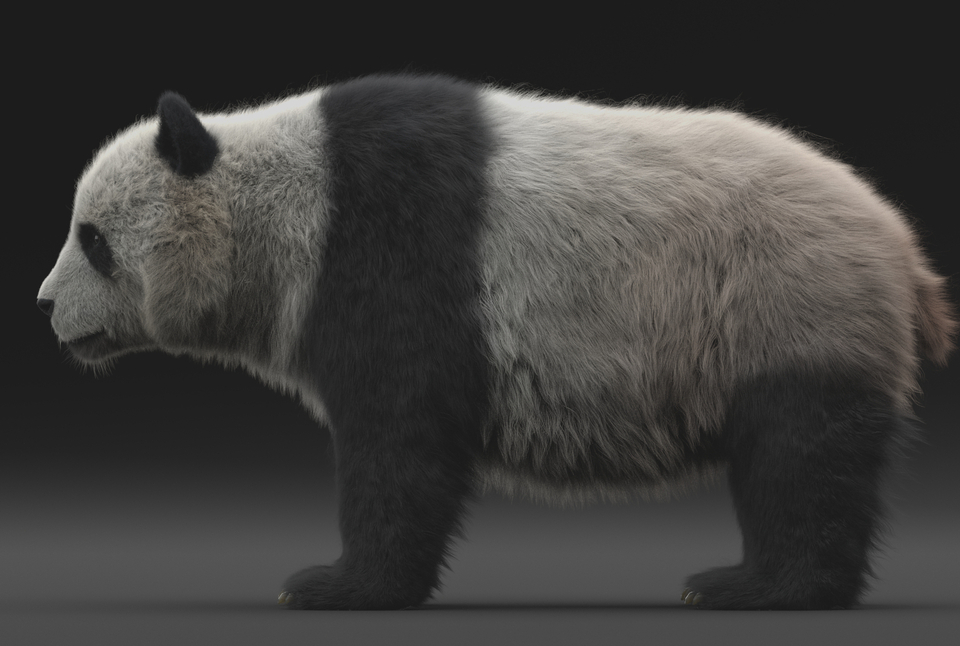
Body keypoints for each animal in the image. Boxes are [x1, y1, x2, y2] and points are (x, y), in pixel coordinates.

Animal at [37, 74, 955, 610]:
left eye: (93, 240)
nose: (45, 306)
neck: (291, 198)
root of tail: (902, 248)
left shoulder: (391, 250)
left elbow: (401, 439)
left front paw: (340, 585)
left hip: (784, 303)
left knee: (803, 455)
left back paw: (763, 588)